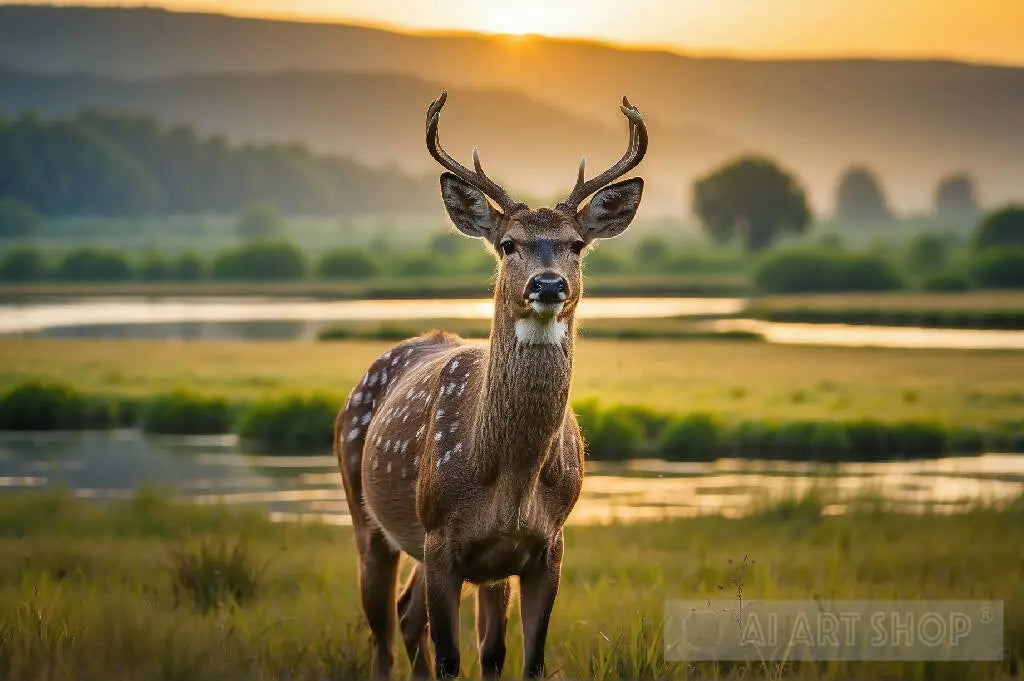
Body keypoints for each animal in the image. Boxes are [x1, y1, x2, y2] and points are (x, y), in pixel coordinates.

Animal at [335, 90, 648, 679]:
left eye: (577, 245)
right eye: (507, 244)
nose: (547, 284)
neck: (511, 480)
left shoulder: (545, 547)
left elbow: (520, 659)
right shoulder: (441, 539)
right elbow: (451, 659)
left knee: (410, 618)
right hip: (367, 516)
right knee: (383, 634)